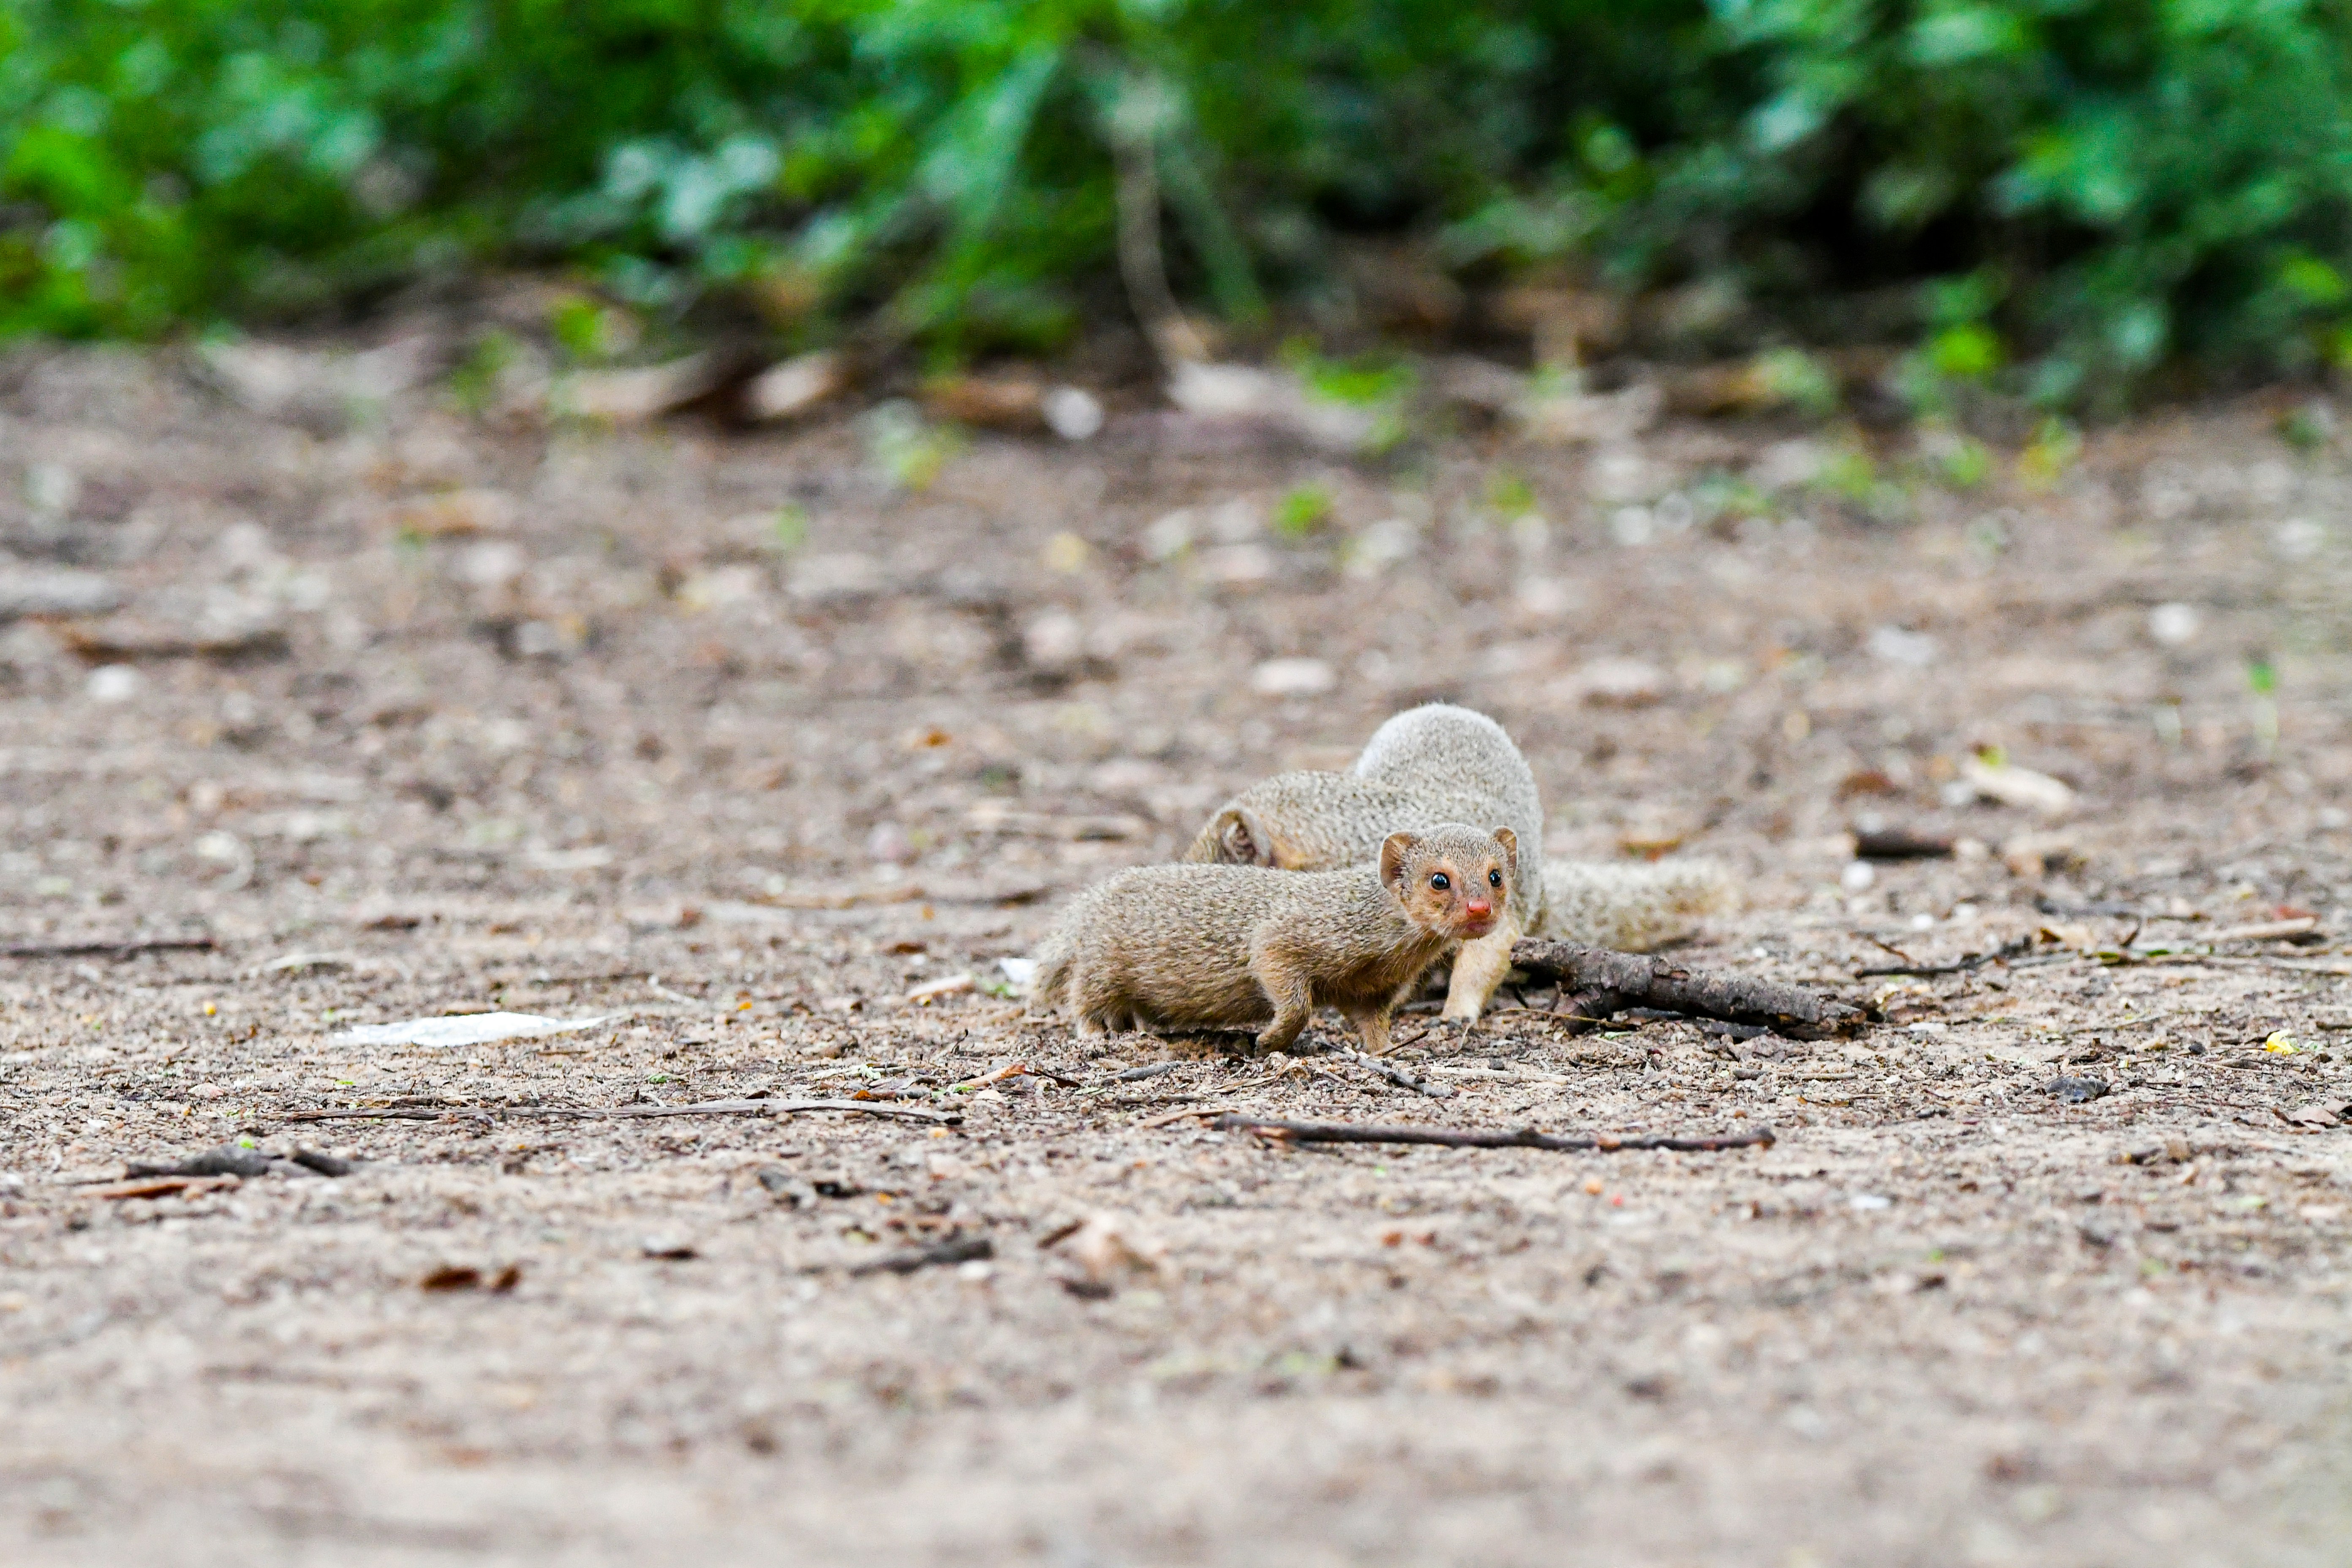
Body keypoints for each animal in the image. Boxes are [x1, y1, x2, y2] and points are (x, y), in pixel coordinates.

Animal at [1032, 823, 1517, 1054]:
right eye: (1439, 879)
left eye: (1495, 876)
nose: (1480, 910)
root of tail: (1090, 899)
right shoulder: (1282, 938)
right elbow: (1295, 1000)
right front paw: (1268, 1042)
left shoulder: (1371, 990)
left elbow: (1372, 1023)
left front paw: (1391, 1053)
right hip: (1102, 961)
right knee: (1081, 993)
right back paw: (1094, 1034)